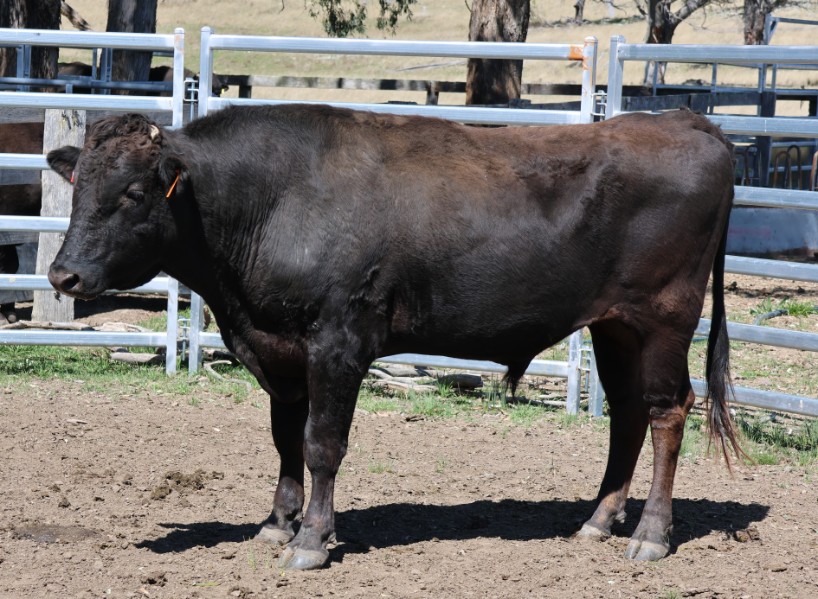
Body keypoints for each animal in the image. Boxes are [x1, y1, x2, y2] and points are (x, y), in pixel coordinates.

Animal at [45, 104, 739, 570]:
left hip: (664, 319)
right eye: (78, 184)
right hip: (614, 326)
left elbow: (321, 444)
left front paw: (311, 541)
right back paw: (596, 522)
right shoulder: (280, 352)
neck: (272, 199)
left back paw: (650, 534)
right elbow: (284, 440)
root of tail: (684, 121)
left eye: (134, 192)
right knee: (626, 415)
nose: (62, 274)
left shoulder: (338, 344)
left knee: (667, 412)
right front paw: (276, 522)